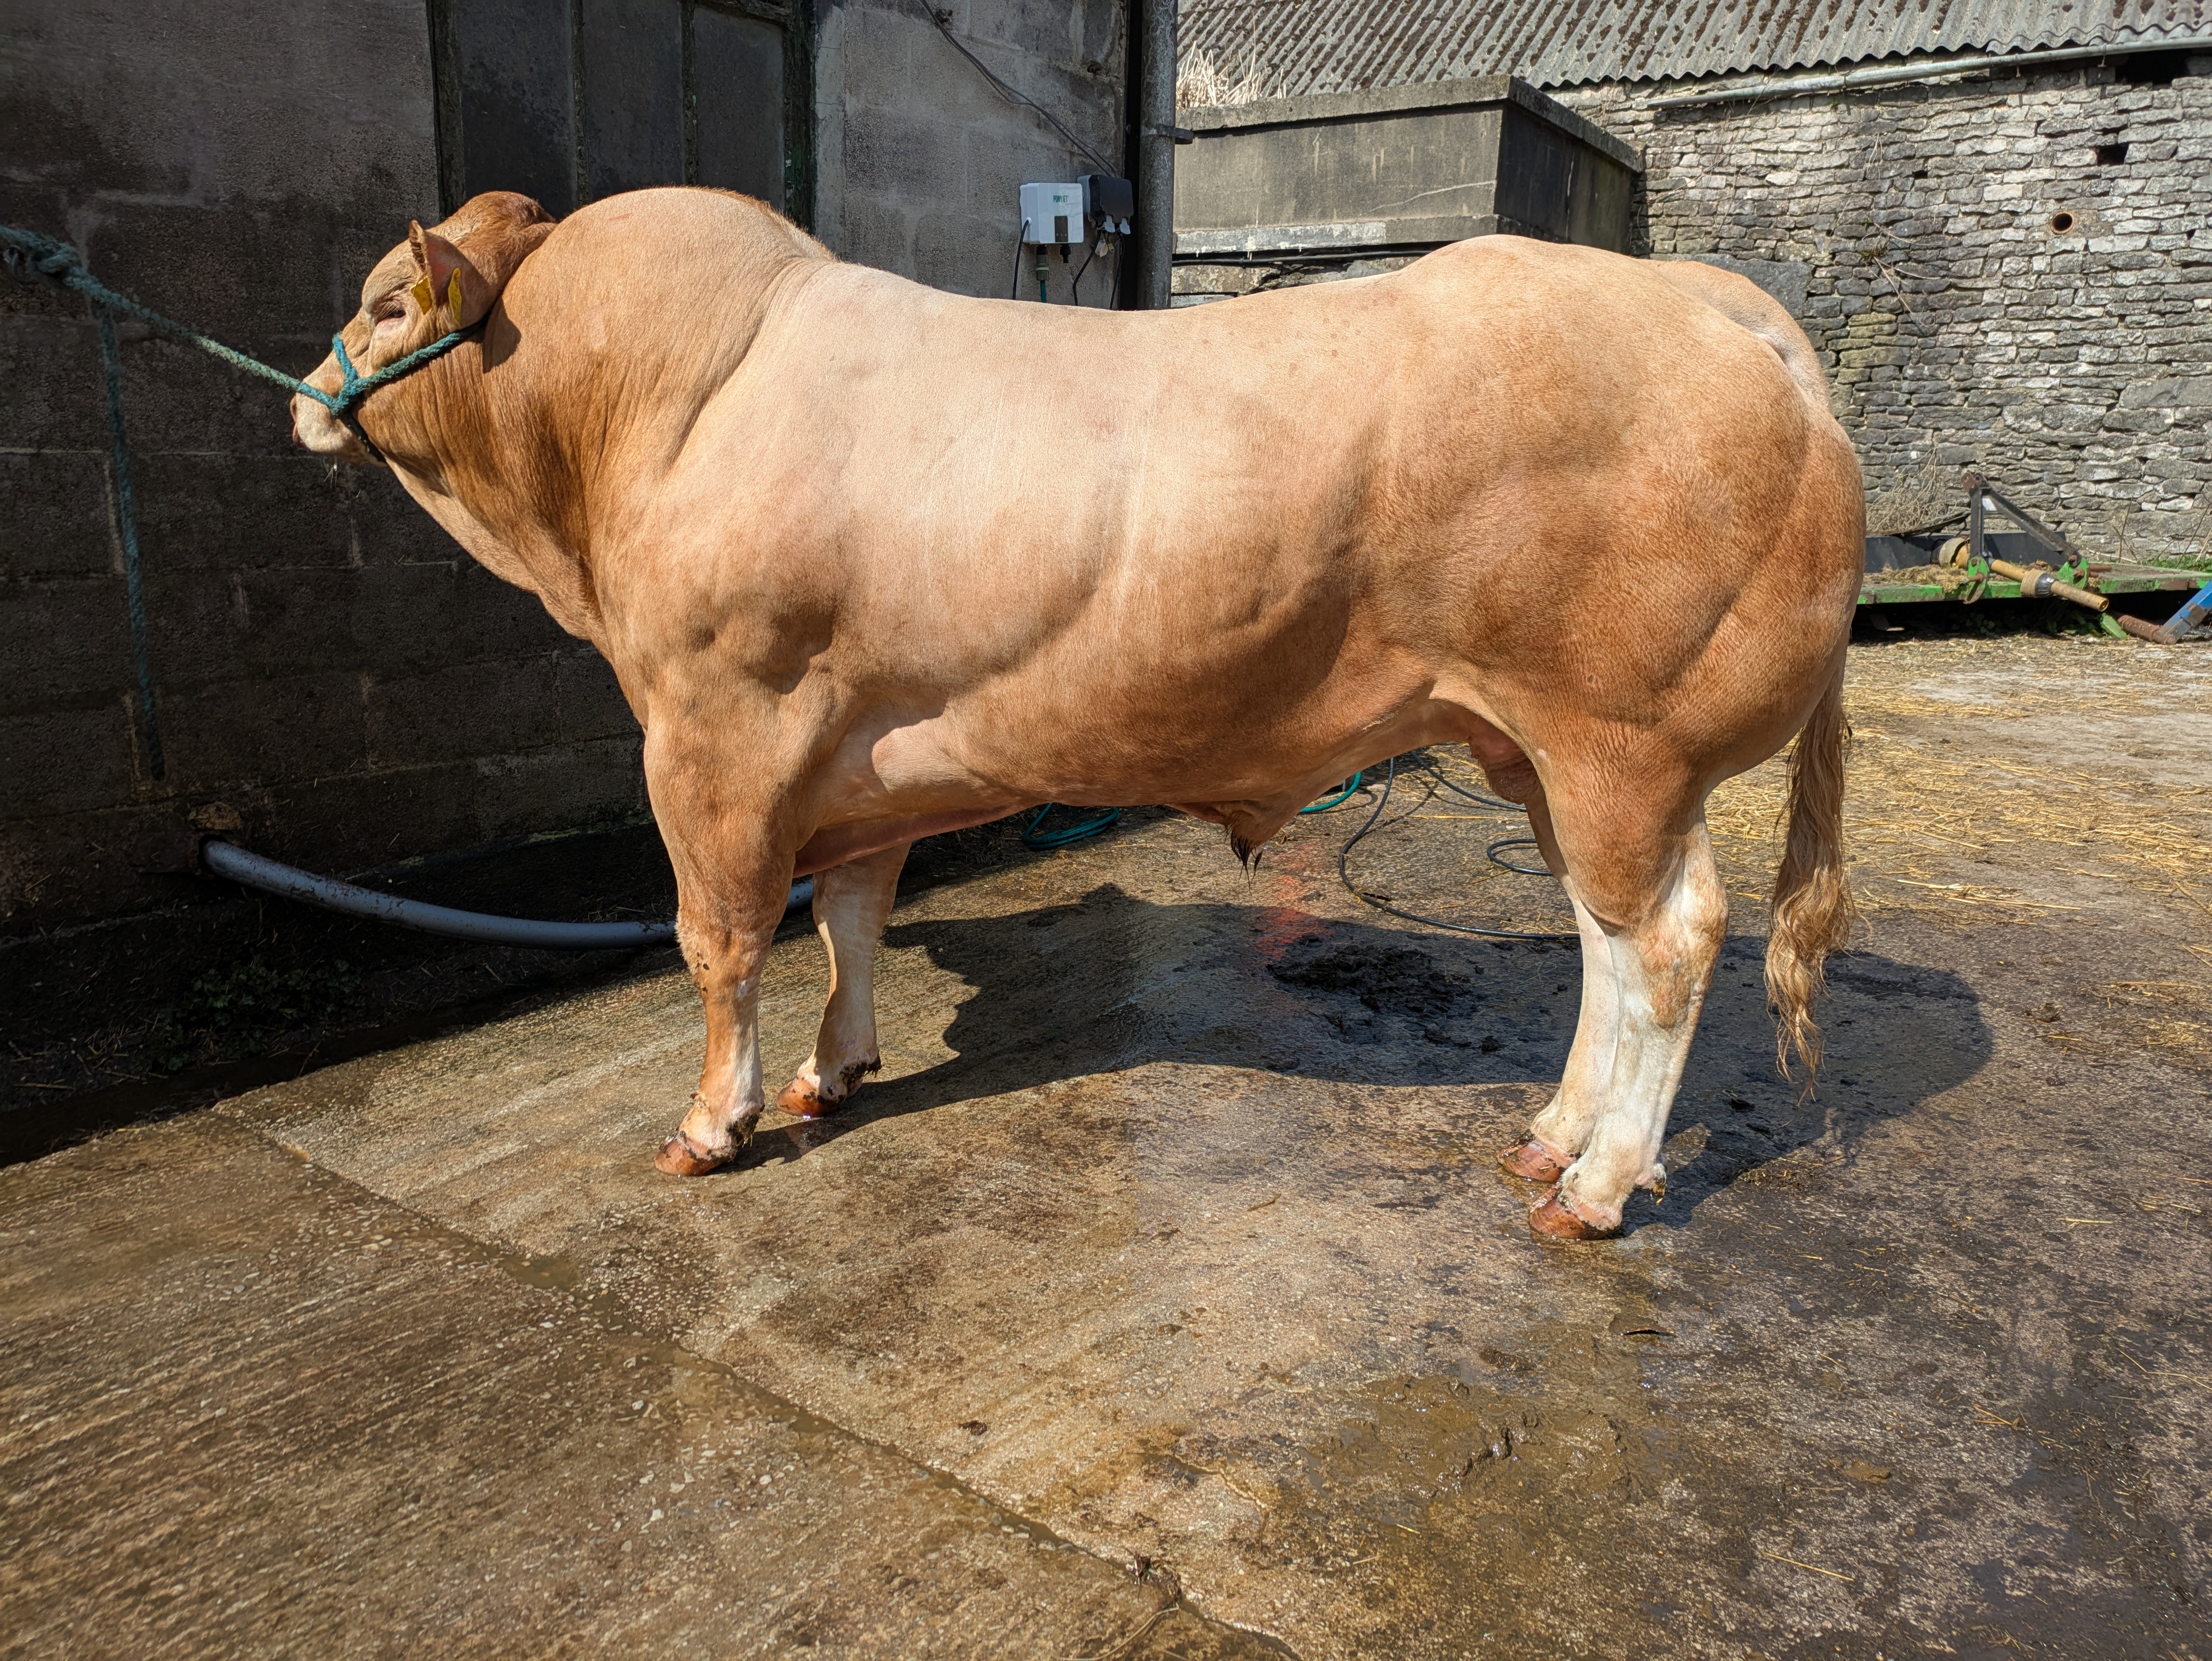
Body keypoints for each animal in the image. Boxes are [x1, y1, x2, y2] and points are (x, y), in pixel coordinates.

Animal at [291, 188, 1860, 1242]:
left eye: (385, 301)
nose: (304, 396)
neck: (657, 409)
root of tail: (1711, 299)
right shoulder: (855, 744)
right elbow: (846, 914)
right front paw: (829, 1070)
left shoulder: (713, 725)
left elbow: (721, 938)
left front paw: (709, 1121)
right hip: (1538, 751)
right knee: (1607, 939)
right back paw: (1555, 1136)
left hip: (1620, 740)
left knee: (1665, 940)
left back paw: (1595, 1187)